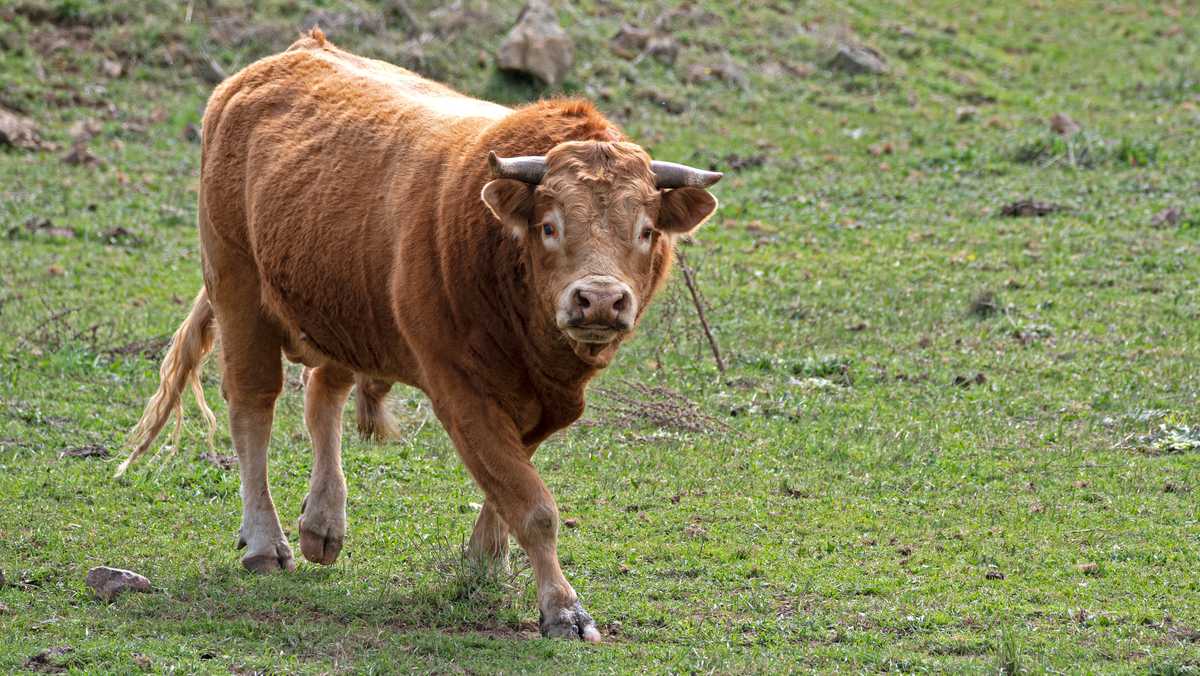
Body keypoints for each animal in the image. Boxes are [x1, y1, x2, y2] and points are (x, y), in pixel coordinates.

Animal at [116, 28, 721, 642]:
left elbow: (508, 486)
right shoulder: (461, 390)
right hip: (237, 288)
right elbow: (533, 504)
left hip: (342, 309)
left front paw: (484, 562)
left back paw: (322, 525)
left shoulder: (532, 400)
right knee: (252, 408)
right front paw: (562, 609)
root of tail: (287, 57)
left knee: (323, 396)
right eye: (550, 226)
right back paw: (266, 541)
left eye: (645, 230)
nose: (598, 299)